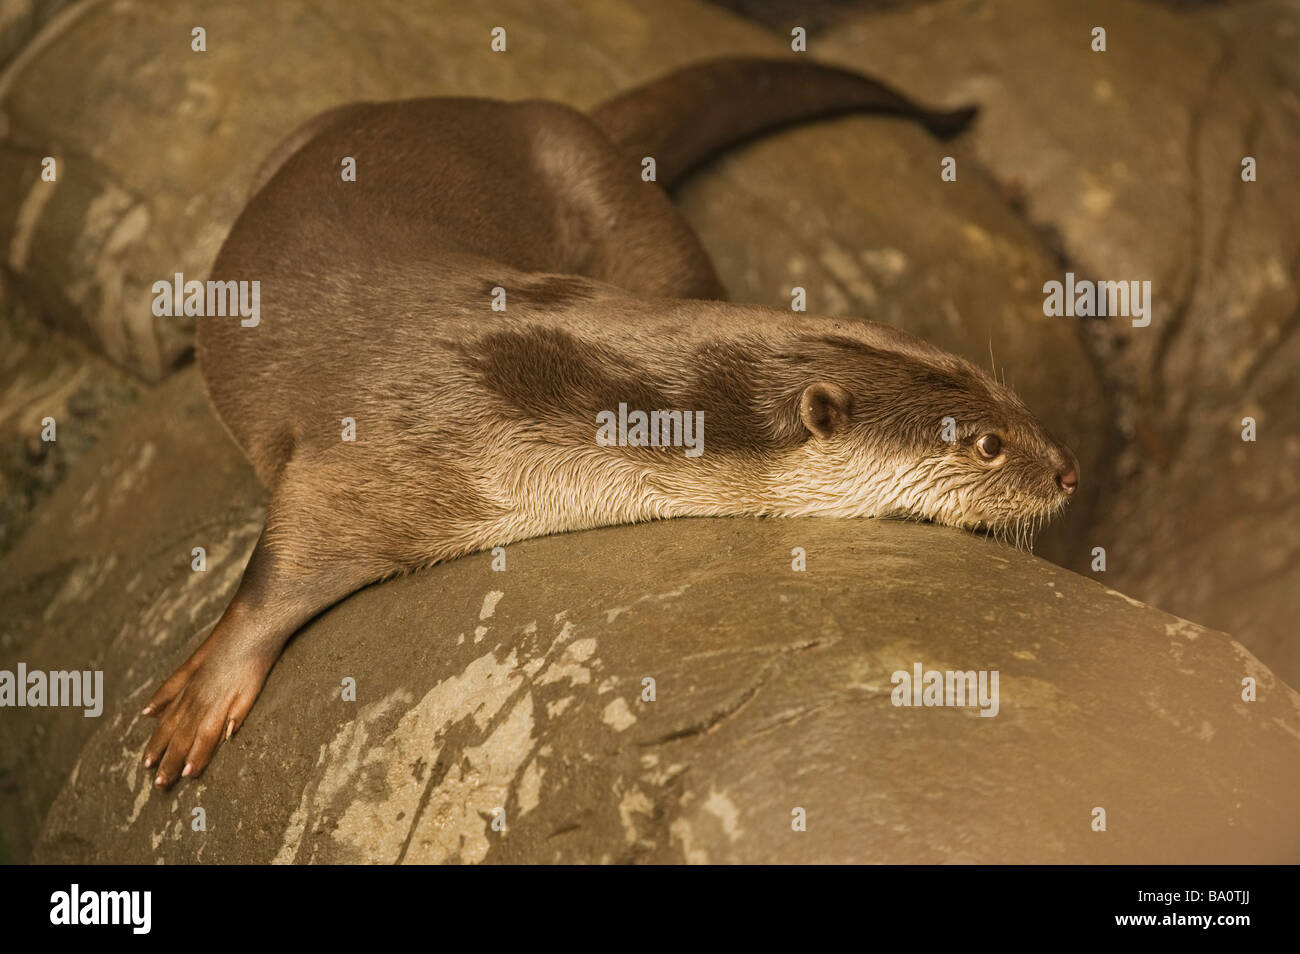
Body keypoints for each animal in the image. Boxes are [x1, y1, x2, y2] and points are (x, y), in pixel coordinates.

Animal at [141, 58, 1077, 788]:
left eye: (1021, 407)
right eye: (988, 445)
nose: (1067, 471)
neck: (579, 398)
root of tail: (538, 115)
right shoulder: (399, 441)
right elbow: (288, 556)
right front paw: (204, 694)